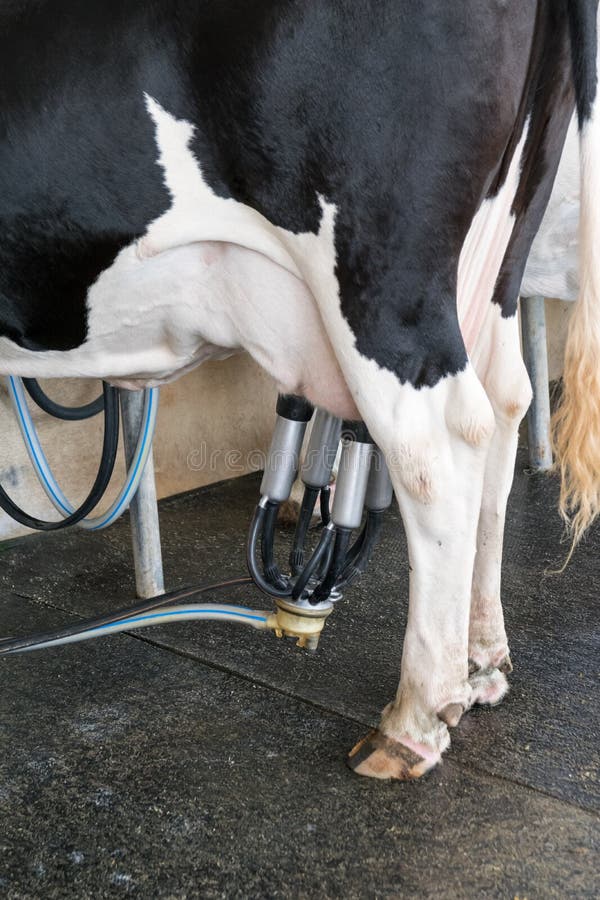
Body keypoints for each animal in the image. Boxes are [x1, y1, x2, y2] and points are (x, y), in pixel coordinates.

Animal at [0, 1, 598, 781]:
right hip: (502, 246)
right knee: (504, 405)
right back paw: (480, 660)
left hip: (381, 273)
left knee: (437, 448)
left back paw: (417, 717)